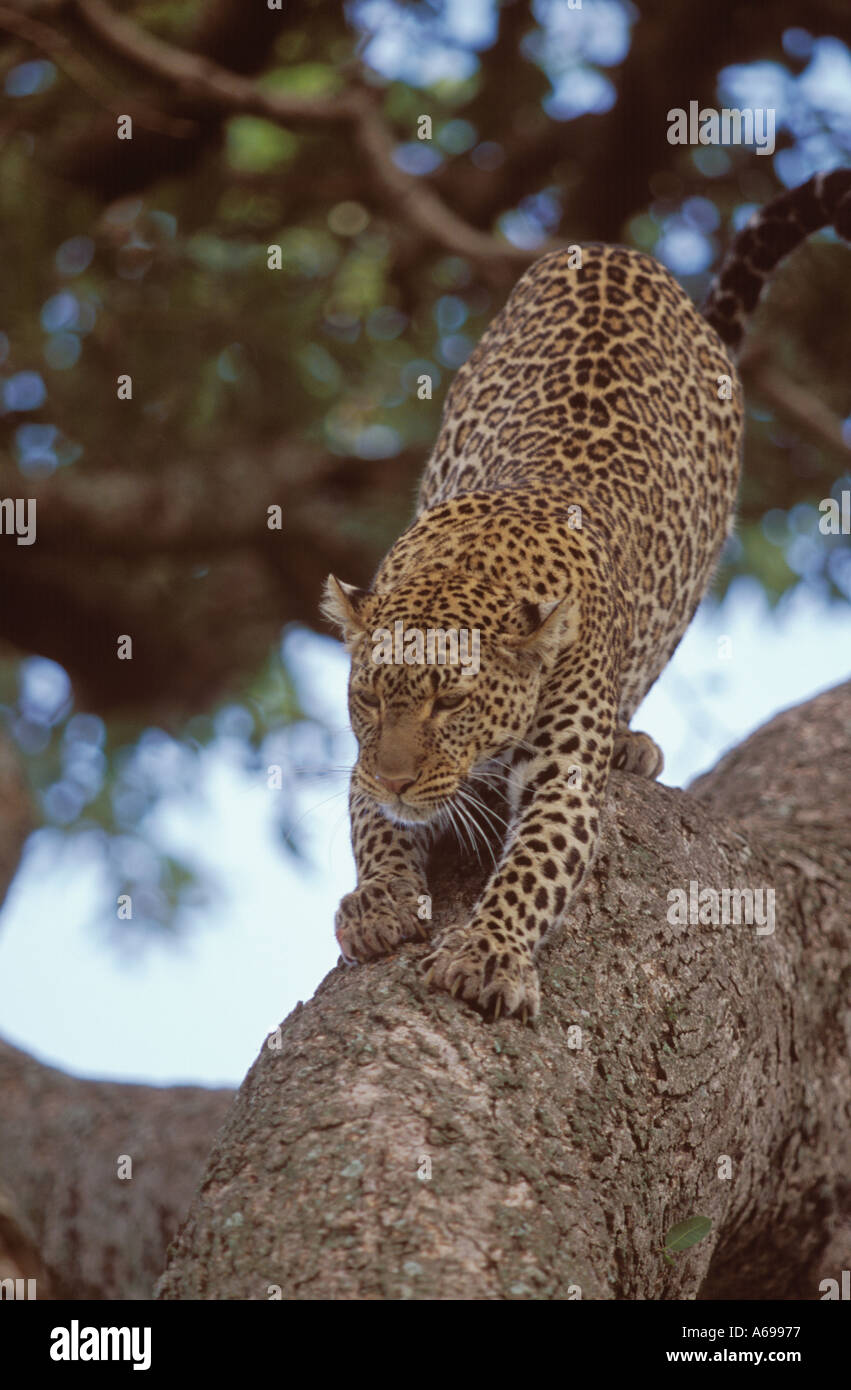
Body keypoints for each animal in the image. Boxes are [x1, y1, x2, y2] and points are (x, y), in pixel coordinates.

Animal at [322, 169, 851, 1022]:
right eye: (368, 697)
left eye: (451, 701)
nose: (400, 777)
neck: (469, 562)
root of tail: (616, 253)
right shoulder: (364, 756)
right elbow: (371, 820)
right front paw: (379, 900)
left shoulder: (561, 780)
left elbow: (533, 866)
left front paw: (487, 952)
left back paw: (630, 742)